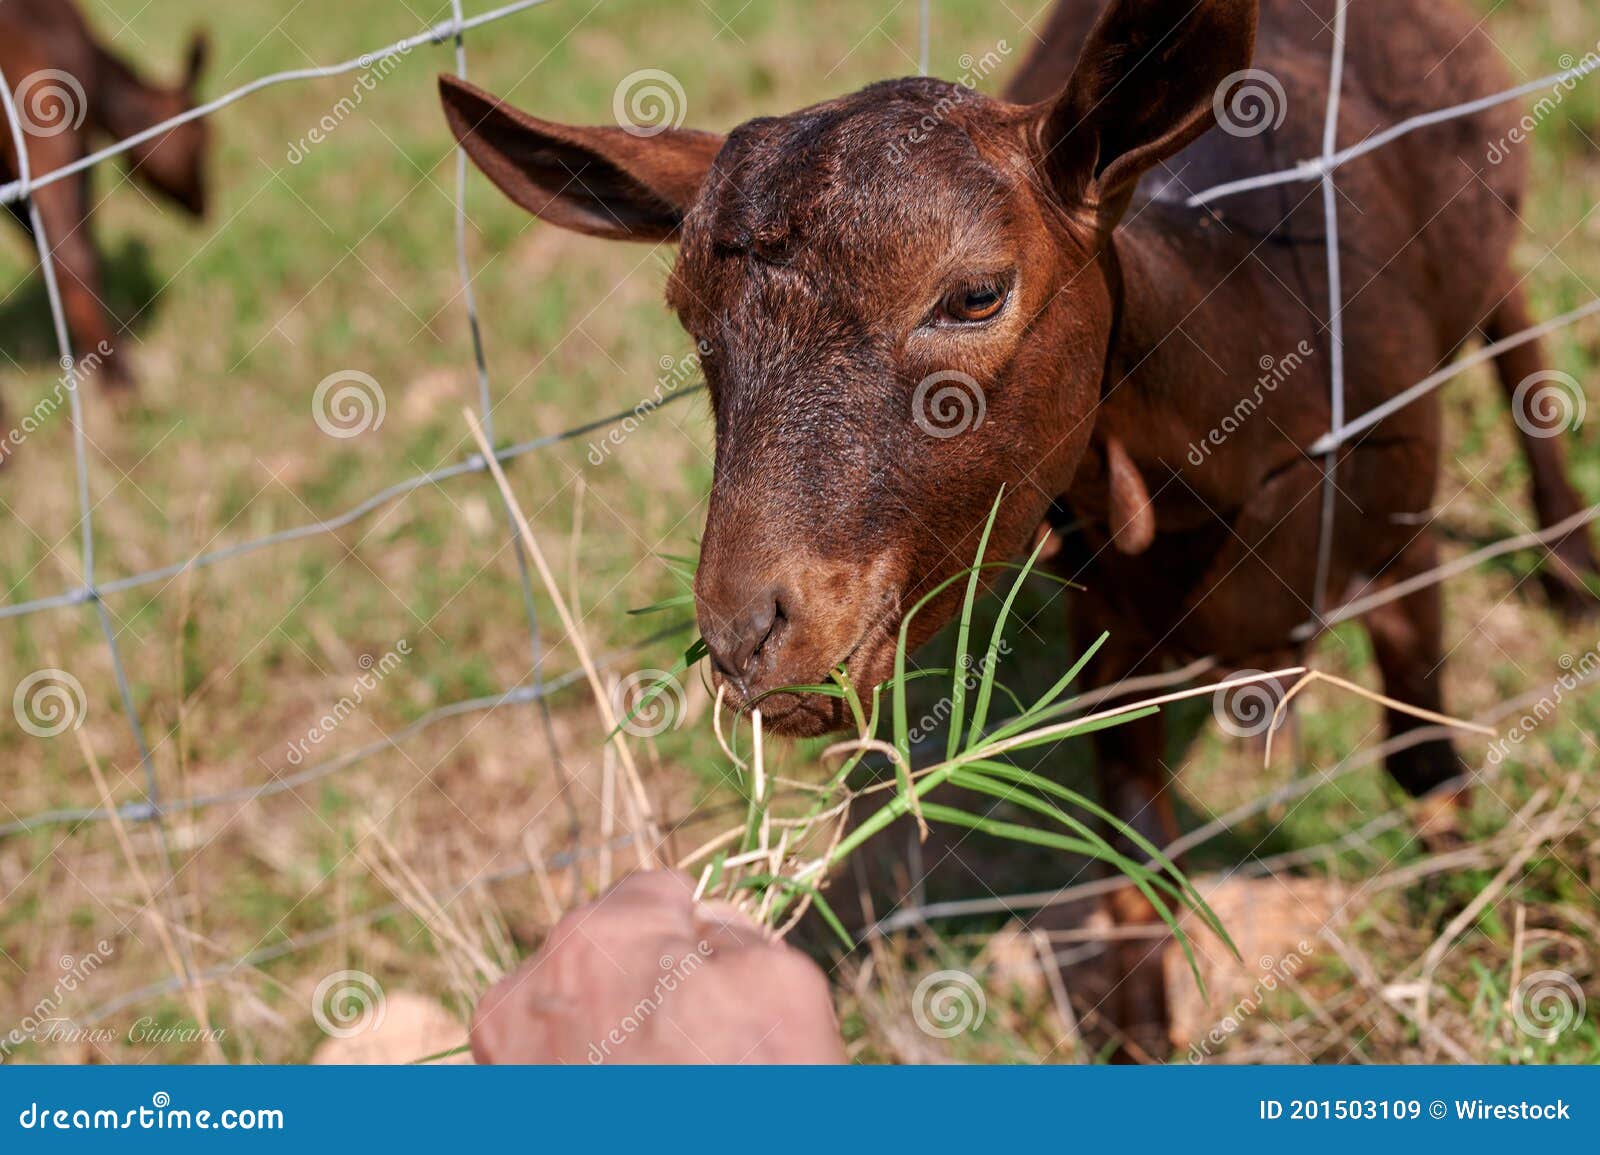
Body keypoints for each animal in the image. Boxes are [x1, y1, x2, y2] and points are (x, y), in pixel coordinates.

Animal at [440, 0, 1599, 1056]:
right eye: (690, 321)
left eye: (974, 295)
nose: (749, 637)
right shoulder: (1117, 639)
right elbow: (1133, 864)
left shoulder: (1401, 548)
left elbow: (1424, 769)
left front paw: (1479, 927)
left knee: (1517, 330)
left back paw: (1567, 562)